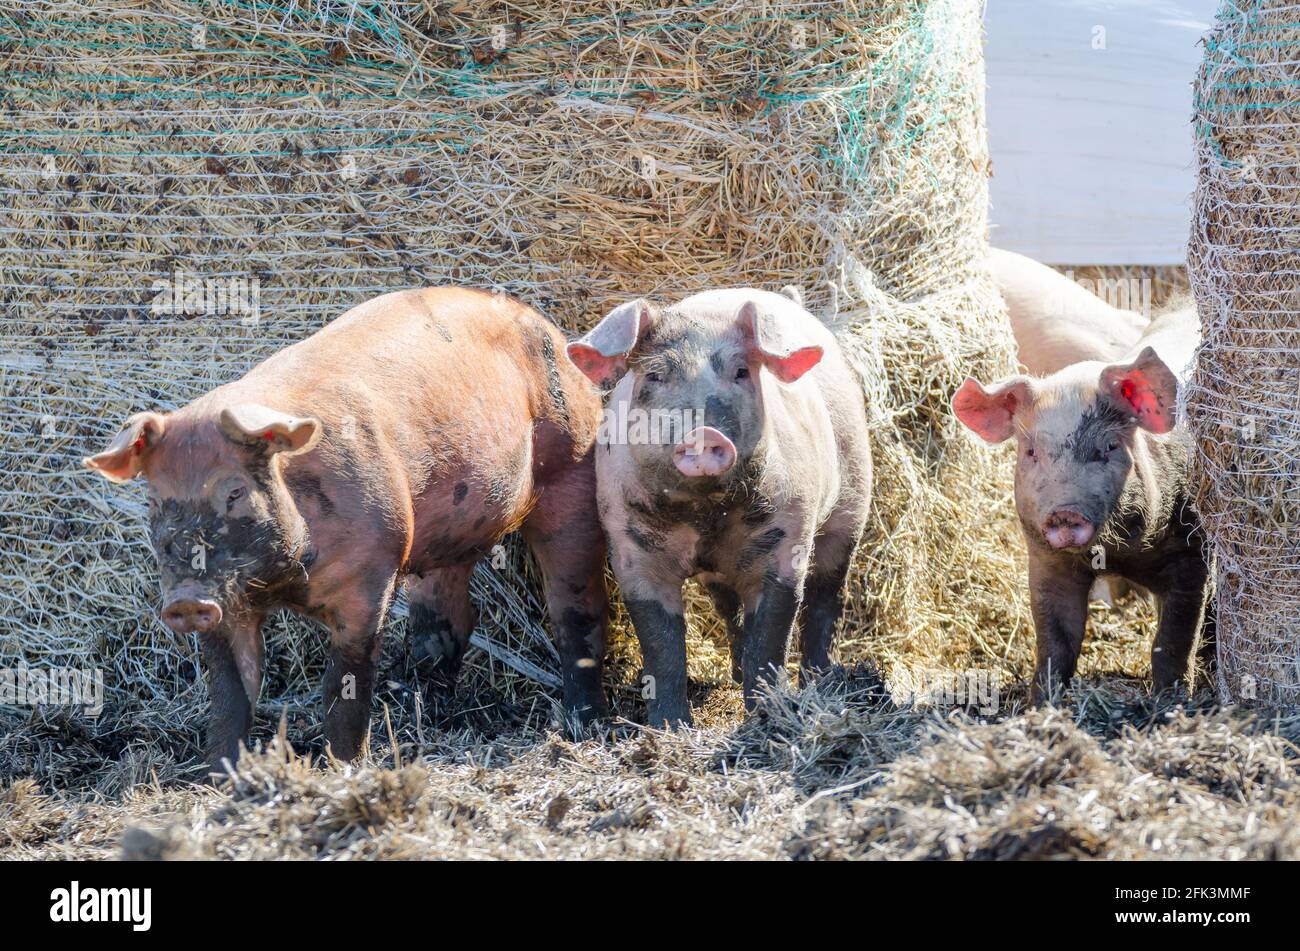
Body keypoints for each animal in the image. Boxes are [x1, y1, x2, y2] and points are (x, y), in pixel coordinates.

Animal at [84, 288, 609, 768]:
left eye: (234, 492)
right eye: (155, 498)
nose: (186, 599)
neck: (283, 581)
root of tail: (547, 326)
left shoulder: (372, 573)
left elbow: (343, 683)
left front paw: (344, 766)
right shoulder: (230, 606)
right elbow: (231, 695)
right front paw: (220, 777)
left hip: (573, 468)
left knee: (575, 610)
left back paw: (583, 726)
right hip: (449, 528)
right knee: (449, 620)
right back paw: (429, 710)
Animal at [566, 287, 871, 726]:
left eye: (742, 372)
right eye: (655, 375)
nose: (704, 434)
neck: (705, 512)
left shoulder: (788, 536)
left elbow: (772, 637)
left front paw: (764, 716)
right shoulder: (630, 544)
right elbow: (661, 645)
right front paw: (670, 727)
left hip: (852, 500)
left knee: (825, 596)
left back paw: (822, 681)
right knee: (728, 607)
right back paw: (738, 671)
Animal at [951, 305, 1208, 701]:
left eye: (1110, 447)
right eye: (1031, 452)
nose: (1065, 512)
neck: (1118, 558)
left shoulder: (1191, 551)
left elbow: (1175, 638)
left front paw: (1170, 701)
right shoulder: (1045, 559)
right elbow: (1056, 638)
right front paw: (1040, 703)